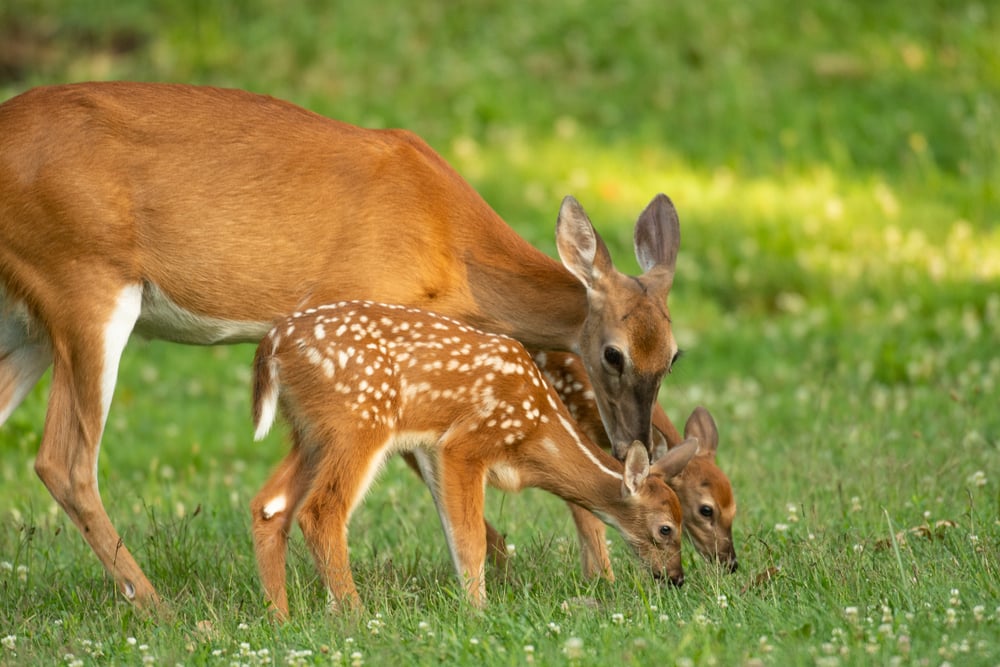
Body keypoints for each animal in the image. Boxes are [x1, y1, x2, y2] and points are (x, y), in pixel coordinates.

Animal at [249, 301, 699, 618]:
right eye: (665, 529)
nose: (677, 578)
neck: (537, 432)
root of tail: (272, 345)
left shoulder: (438, 452)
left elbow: (456, 529)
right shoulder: (464, 443)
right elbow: (472, 536)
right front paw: (478, 610)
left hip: (309, 432)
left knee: (269, 506)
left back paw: (280, 619)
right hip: (358, 421)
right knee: (321, 509)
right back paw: (355, 617)